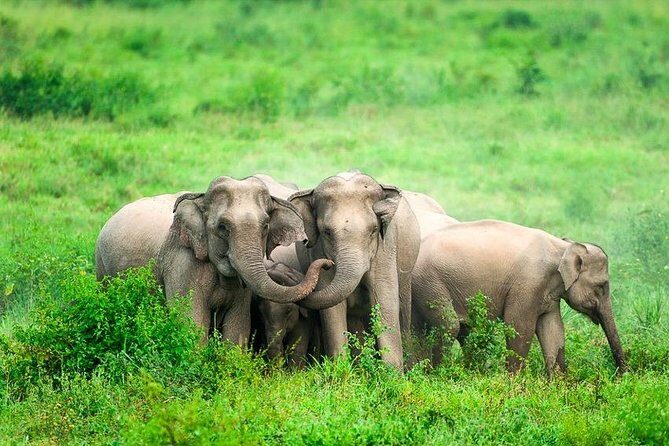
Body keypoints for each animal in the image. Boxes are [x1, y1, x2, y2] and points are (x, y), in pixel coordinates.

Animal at [95, 174, 332, 345]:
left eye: (265, 226)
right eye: (223, 228)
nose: (328, 263)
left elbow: (238, 326)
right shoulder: (182, 264)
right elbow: (191, 322)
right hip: (101, 266)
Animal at [288, 171, 421, 370]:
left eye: (374, 230)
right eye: (327, 232)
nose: (326, 264)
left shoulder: (386, 247)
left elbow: (385, 299)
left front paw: (391, 374)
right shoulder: (319, 249)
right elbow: (332, 308)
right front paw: (341, 370)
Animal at [411, 219, 627, 376]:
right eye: (601, 286)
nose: (621, 375)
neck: (564, 246)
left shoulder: (548, 293)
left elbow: (553, 329)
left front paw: (559, 384)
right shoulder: (528, 284)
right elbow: (519, 325)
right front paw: (514, 383)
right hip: (429, 282)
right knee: (450, 326)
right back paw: (439, 375)